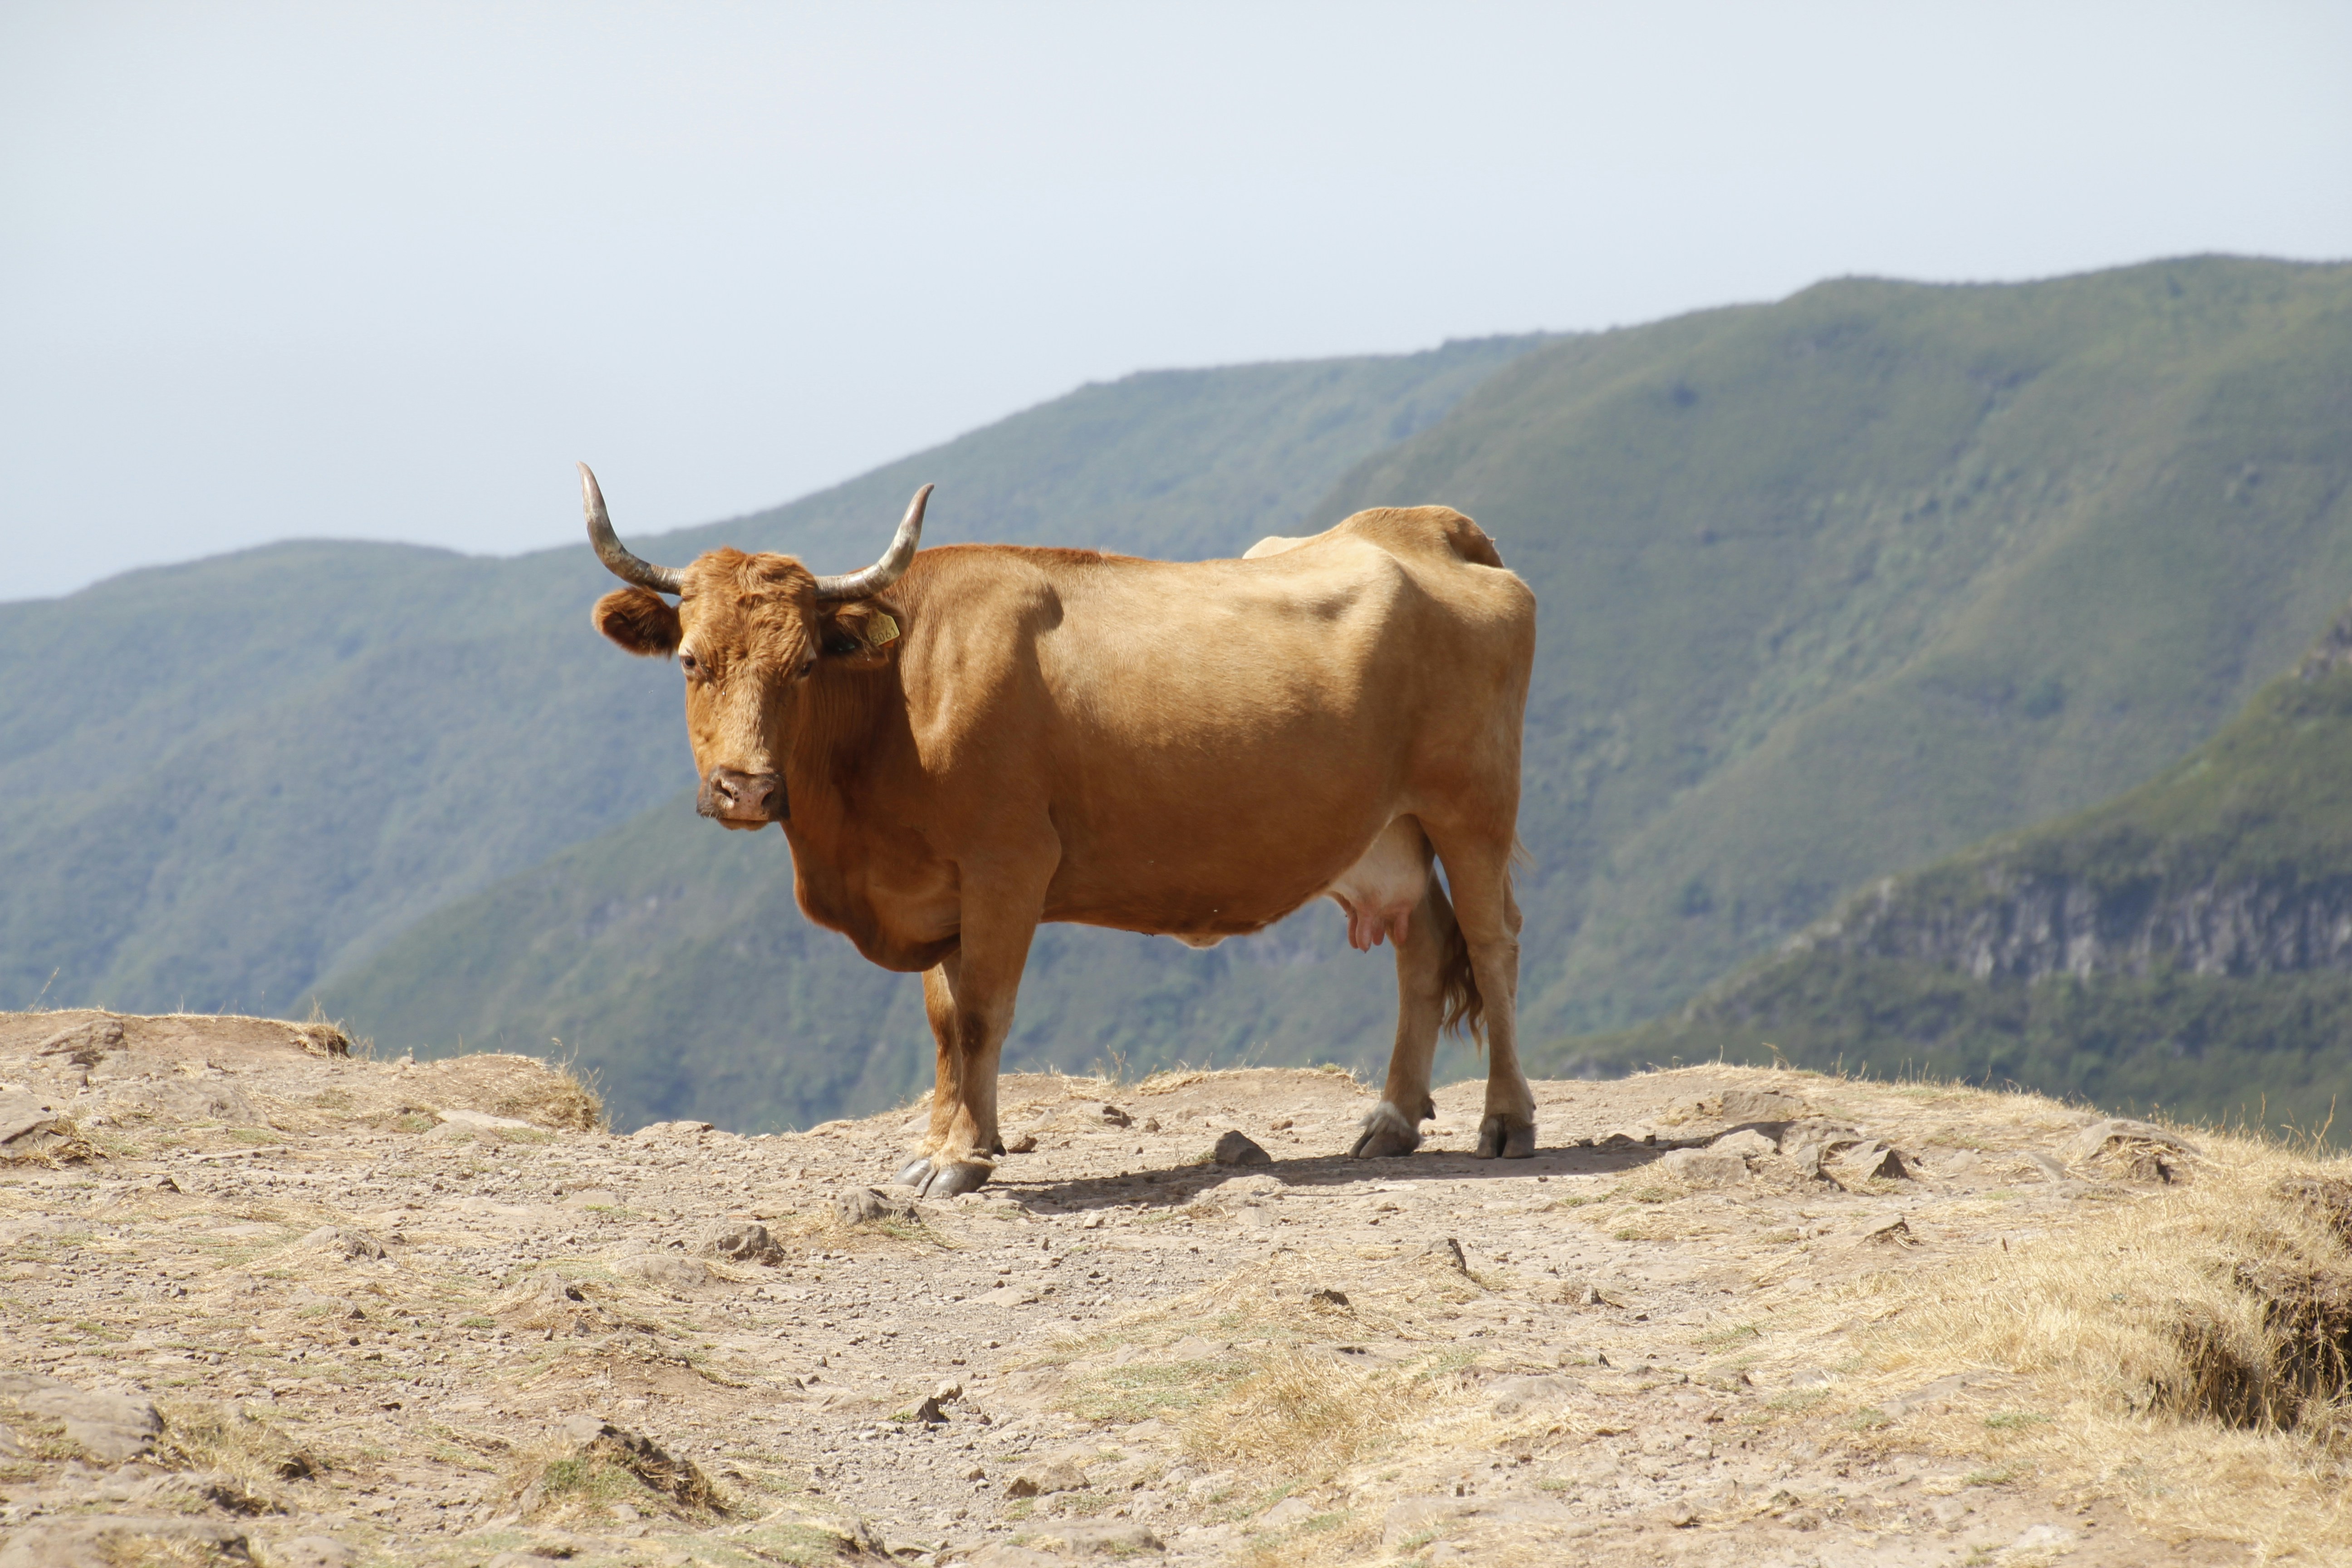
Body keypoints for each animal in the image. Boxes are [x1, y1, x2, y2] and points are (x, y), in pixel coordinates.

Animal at [580, 464, 1537, 1195]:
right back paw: (1392, 1119)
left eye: (806, 664)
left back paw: (1505, 1120)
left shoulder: (1007, 864)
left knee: (1491, 942)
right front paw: (938, 1143)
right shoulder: (935, 889)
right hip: (1389, 829)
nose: (744, 787)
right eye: (690, 659)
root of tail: (1418, 524)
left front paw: (962, 1159)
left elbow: (980, 1015)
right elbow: (942, 1020)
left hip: (1474, 804)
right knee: (1424, 945)